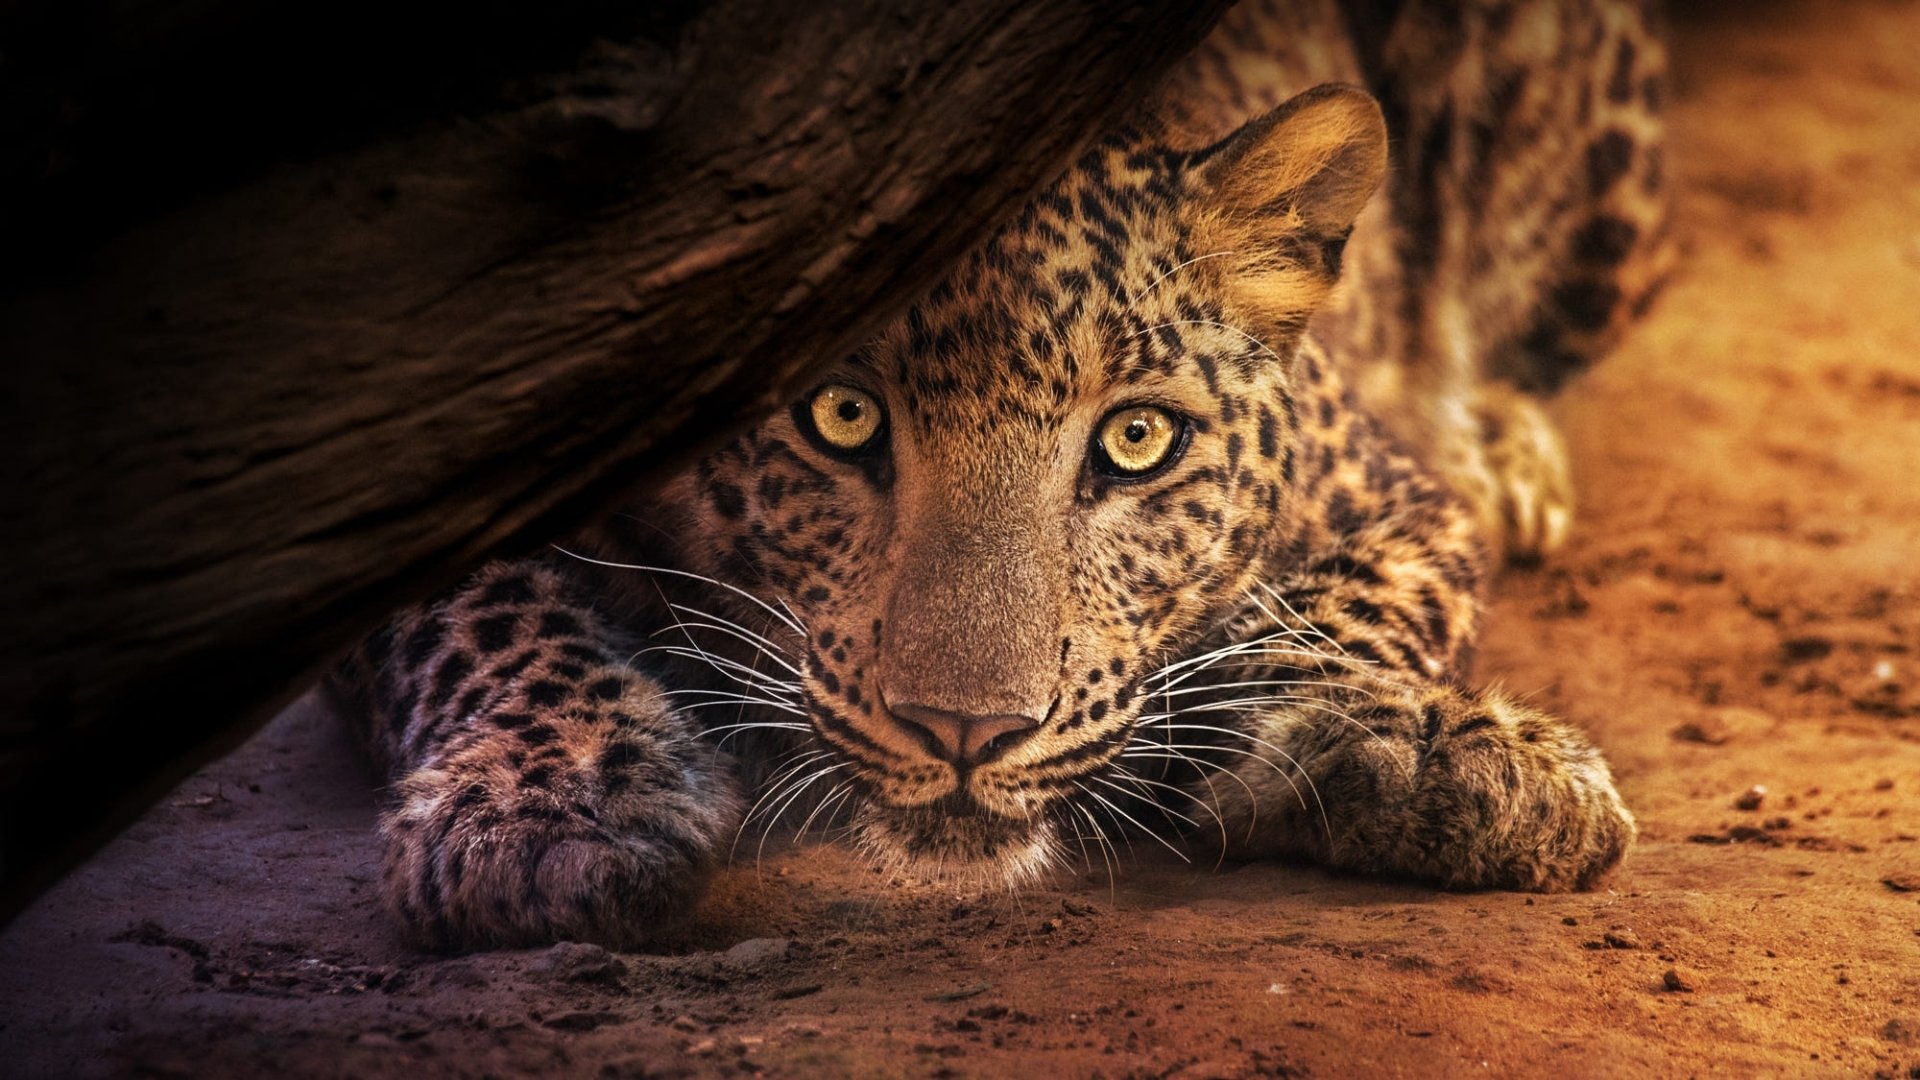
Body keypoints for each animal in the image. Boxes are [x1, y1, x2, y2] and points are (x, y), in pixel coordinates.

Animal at [328, 0, 1671, 950]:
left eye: (1137, 440)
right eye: (840, 416)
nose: (967, 732)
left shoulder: (1391, 503)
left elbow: (1344, 611)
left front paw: (1430, 748)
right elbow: (486, 614)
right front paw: (551, 803)